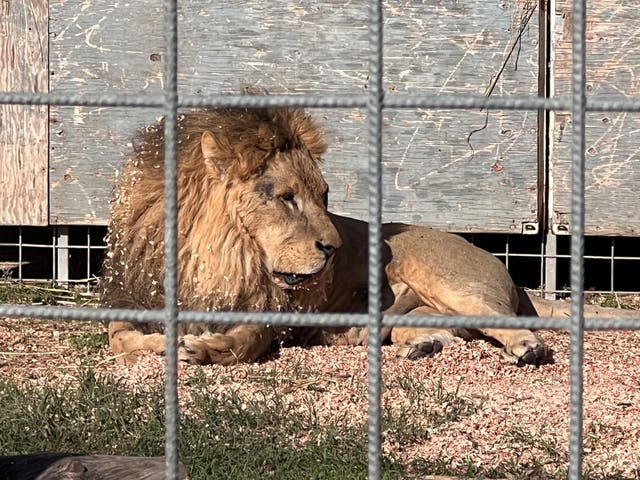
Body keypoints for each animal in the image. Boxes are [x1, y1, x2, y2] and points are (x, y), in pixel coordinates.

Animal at [102, 106, 552, 367]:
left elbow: (246, 339)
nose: (333, 248)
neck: (222, 254)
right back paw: (422, 344)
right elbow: (120, 339)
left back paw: (527, 348)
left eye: (324, 196)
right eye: (287, 198)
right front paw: (159, 343)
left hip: (449, 281)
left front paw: (207, 347)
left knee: (504, 321)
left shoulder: (273, 317)